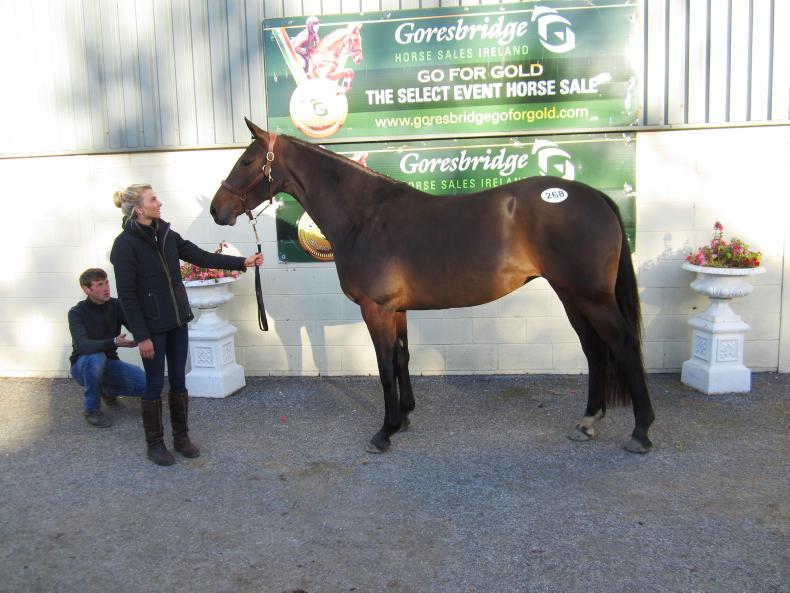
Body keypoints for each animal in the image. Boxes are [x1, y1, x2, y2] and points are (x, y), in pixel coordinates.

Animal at [210, 118, 655, 455]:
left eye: (247, 160)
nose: (217, 210)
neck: (366, 216)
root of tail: (596, 196)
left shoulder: (376, 309)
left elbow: (385, 368)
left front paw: (384, 431)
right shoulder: (398, 310)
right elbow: (402, 359)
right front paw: (405, 416)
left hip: (591, 297)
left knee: (624, 345)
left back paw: (641, 431)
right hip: (571, 296)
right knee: (594, 350)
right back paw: (588, 421)